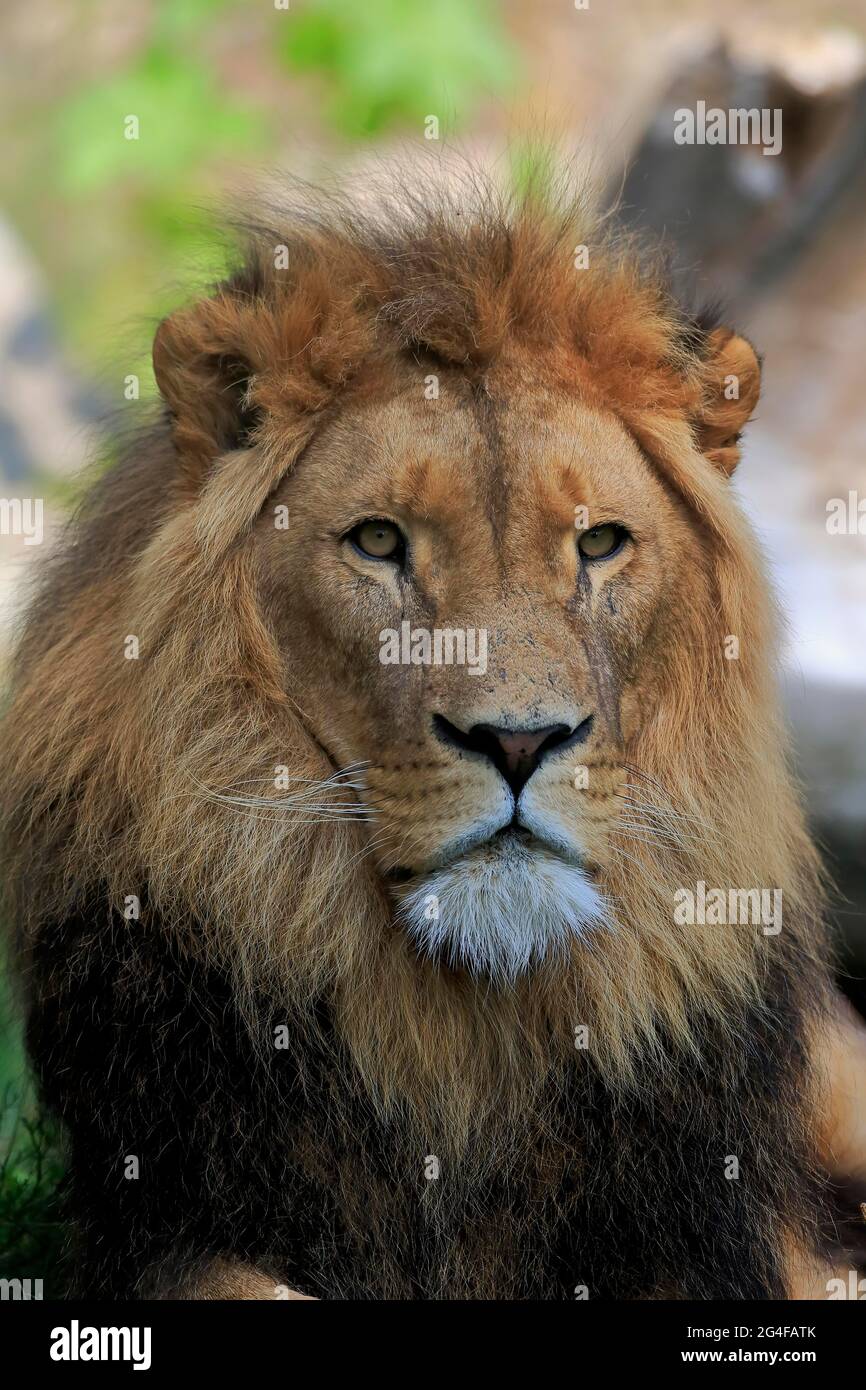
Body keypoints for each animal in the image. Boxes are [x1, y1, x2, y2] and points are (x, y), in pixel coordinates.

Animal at [1, 171, 864, 1300]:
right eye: (377, 541)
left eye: (598, 543)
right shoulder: (160, 1218)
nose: (518, 743)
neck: (458, 1031)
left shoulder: (711, 1232)